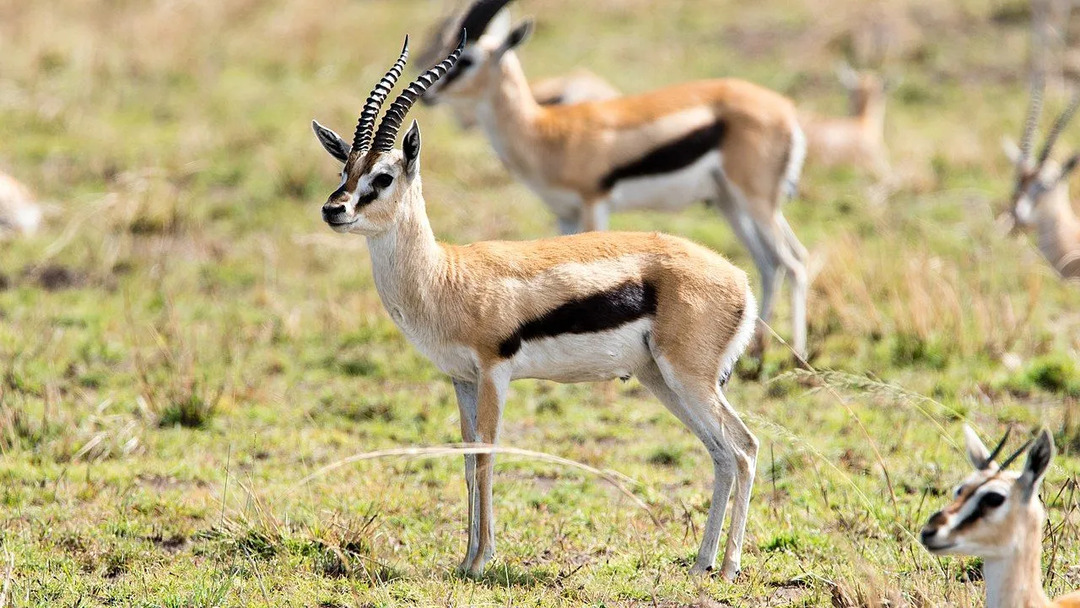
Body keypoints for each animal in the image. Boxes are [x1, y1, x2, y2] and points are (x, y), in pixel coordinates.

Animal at [313, 33, 764, 578]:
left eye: (382, 177)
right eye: (345, 169)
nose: (333, 210)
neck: (445, 275)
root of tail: (740, 281)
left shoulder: (494, 372)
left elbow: (487, 454)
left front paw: (481, 560)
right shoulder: (461, 379)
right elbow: (467, 456)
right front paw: (465, 559)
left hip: (689, 378)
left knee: (743, 447)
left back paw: (729, 566)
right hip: (662, 379)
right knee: (719, 452)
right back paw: (702, 563)